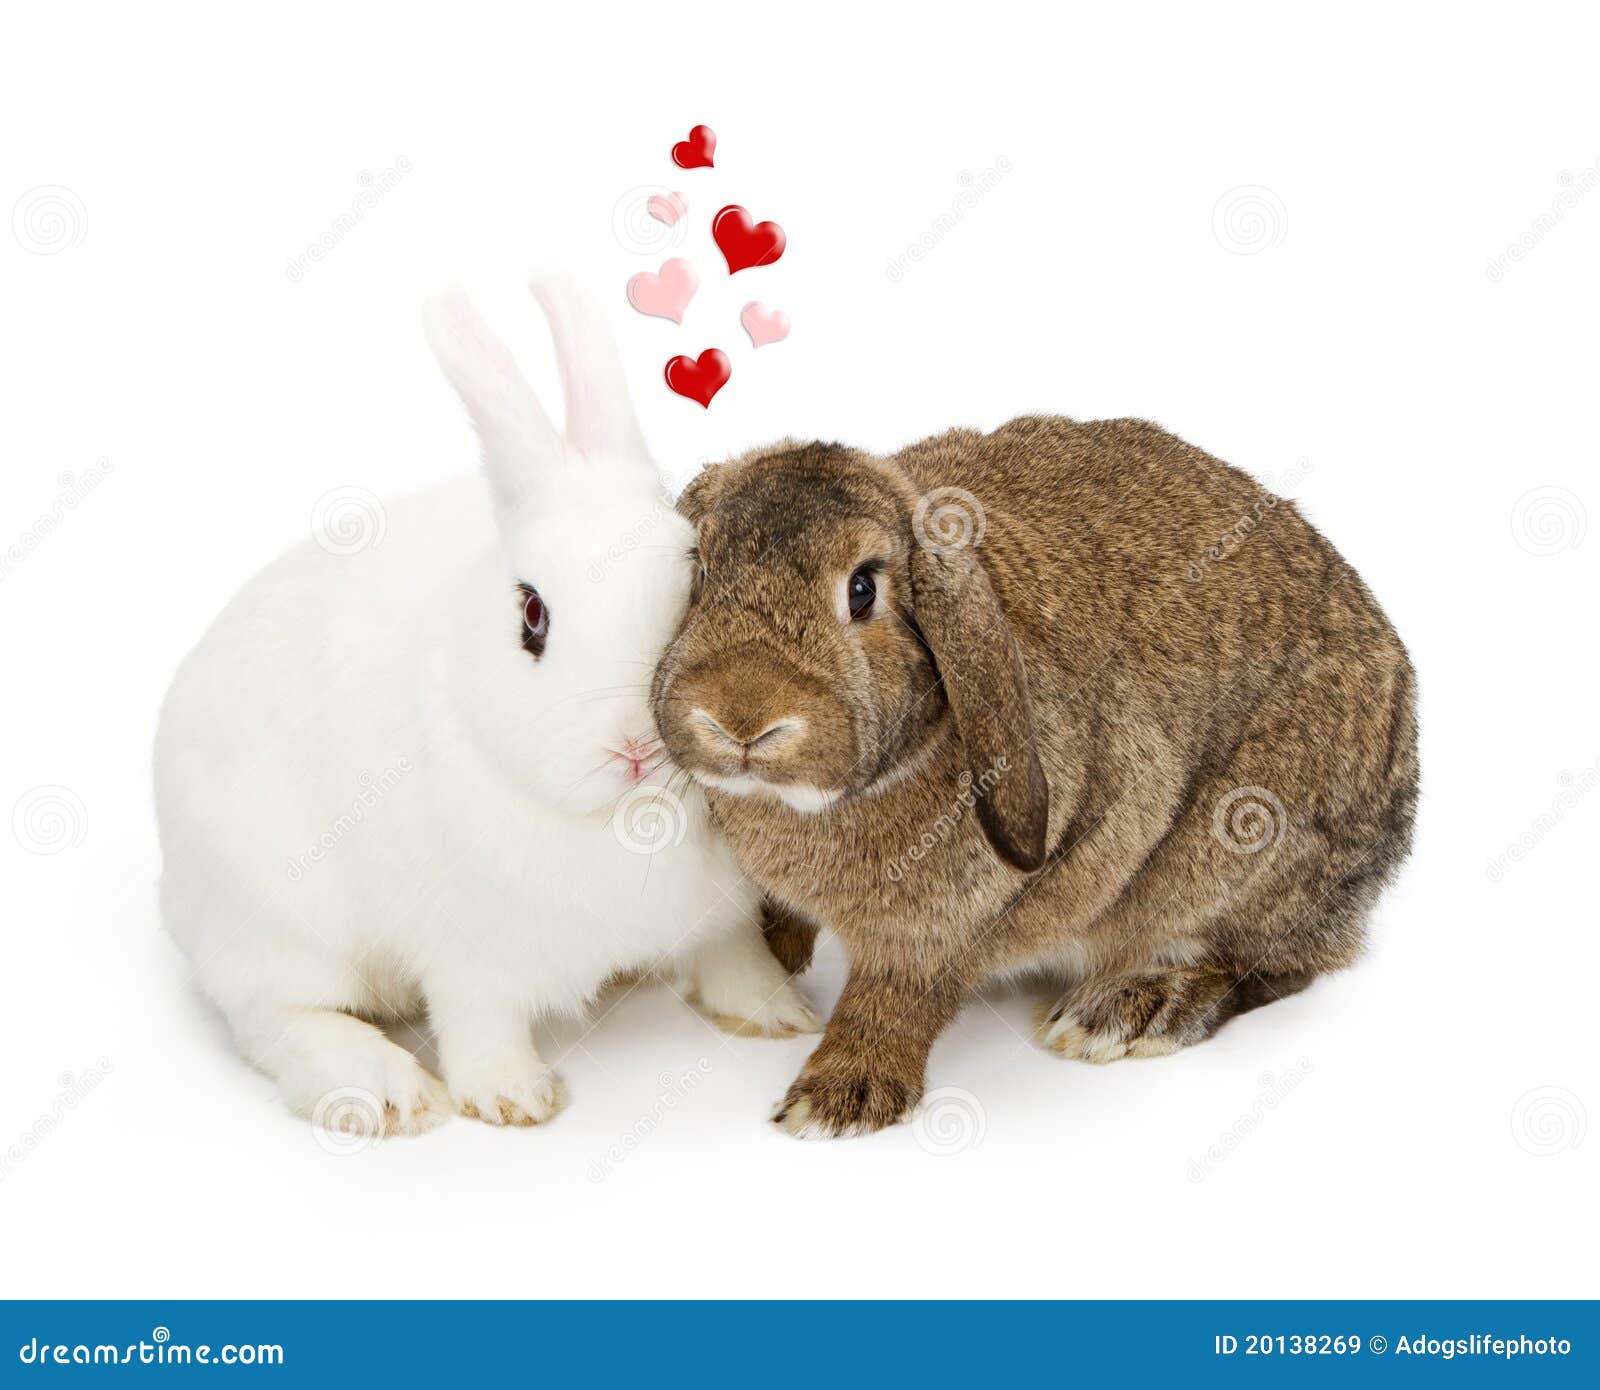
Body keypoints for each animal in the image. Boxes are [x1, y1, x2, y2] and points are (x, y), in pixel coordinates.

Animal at [153, 278, 817, 1136]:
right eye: (531, 616)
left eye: (697, 580)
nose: (634, 748)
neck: (619, 822)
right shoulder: (467, 954)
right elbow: (480, 1021)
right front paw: (513, 1099)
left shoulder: (723, 918)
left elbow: (734, 961)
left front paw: (777, 1016)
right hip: (279, 918)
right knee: (276, 1017)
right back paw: (386, 1091)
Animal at [649, 415, 1418, 1138]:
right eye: (701, 571)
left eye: (863, 589)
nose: (742, 718)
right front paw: (760, 974)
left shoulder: (945, 930)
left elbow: (896, 1001)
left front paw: (837, 1101)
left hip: (1239, 860)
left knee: (1270, 966)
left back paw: (1124, 1013)